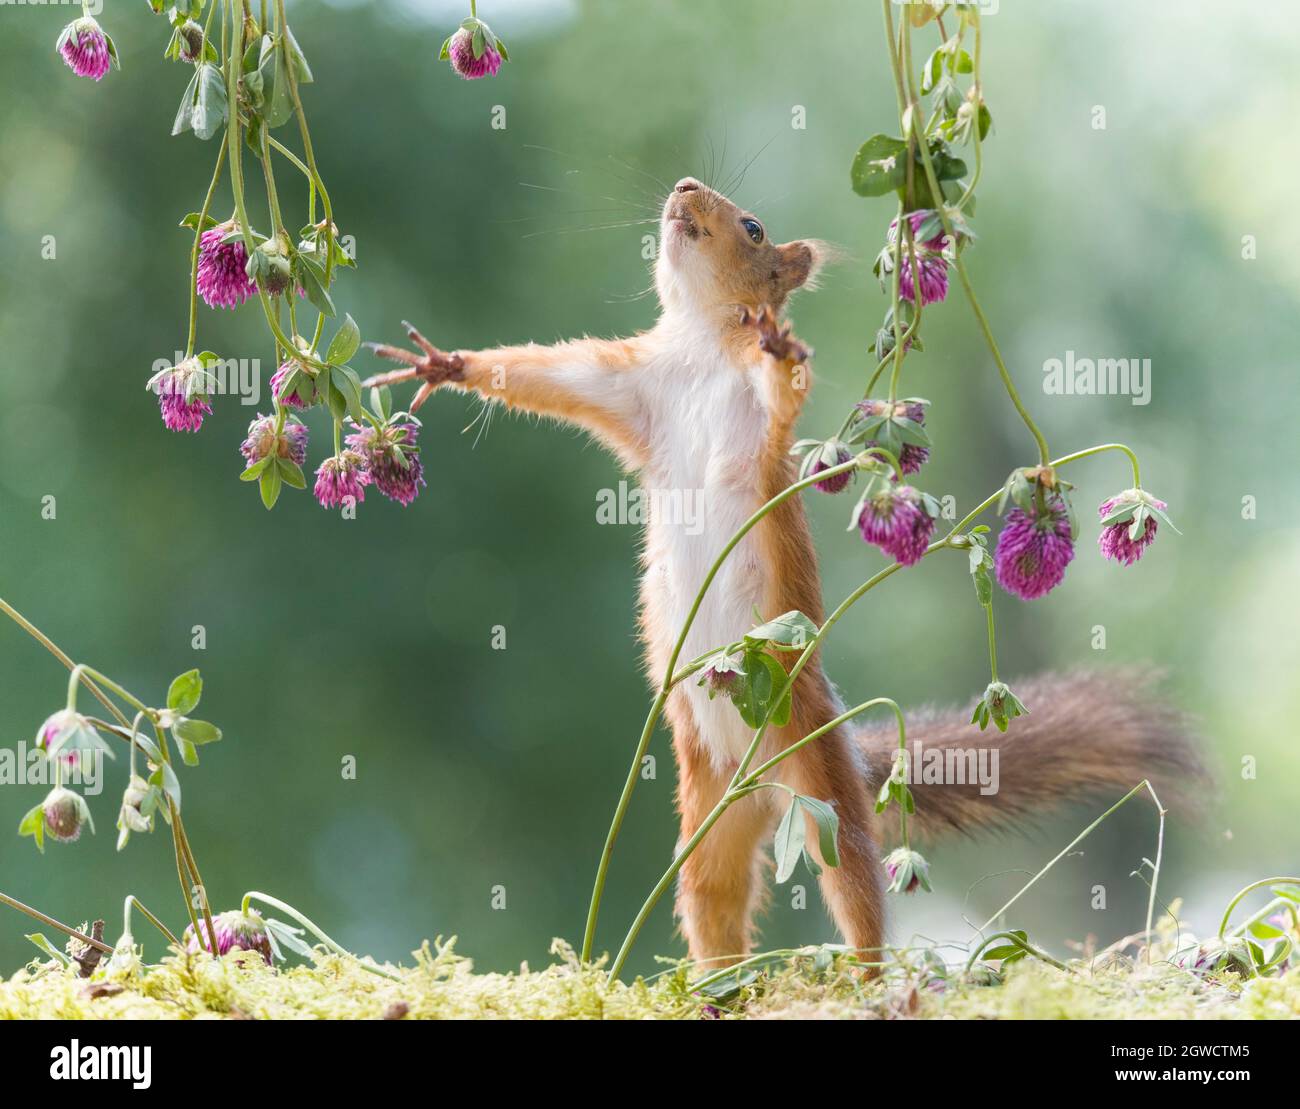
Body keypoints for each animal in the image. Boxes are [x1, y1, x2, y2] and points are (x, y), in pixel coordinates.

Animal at [364, 177, 1203, 968]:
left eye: (754, 226)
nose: (683, 186)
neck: (700, 342)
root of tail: (765, 780)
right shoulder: (630, 386)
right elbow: (541, 375)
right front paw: (442, 362)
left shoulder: (755, 415)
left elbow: (780, 393)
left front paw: (781, 347)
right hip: (709, 811)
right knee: (713, 894)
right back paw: (714, 984)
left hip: (820, 786)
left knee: (855, 883)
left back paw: (868, 979)